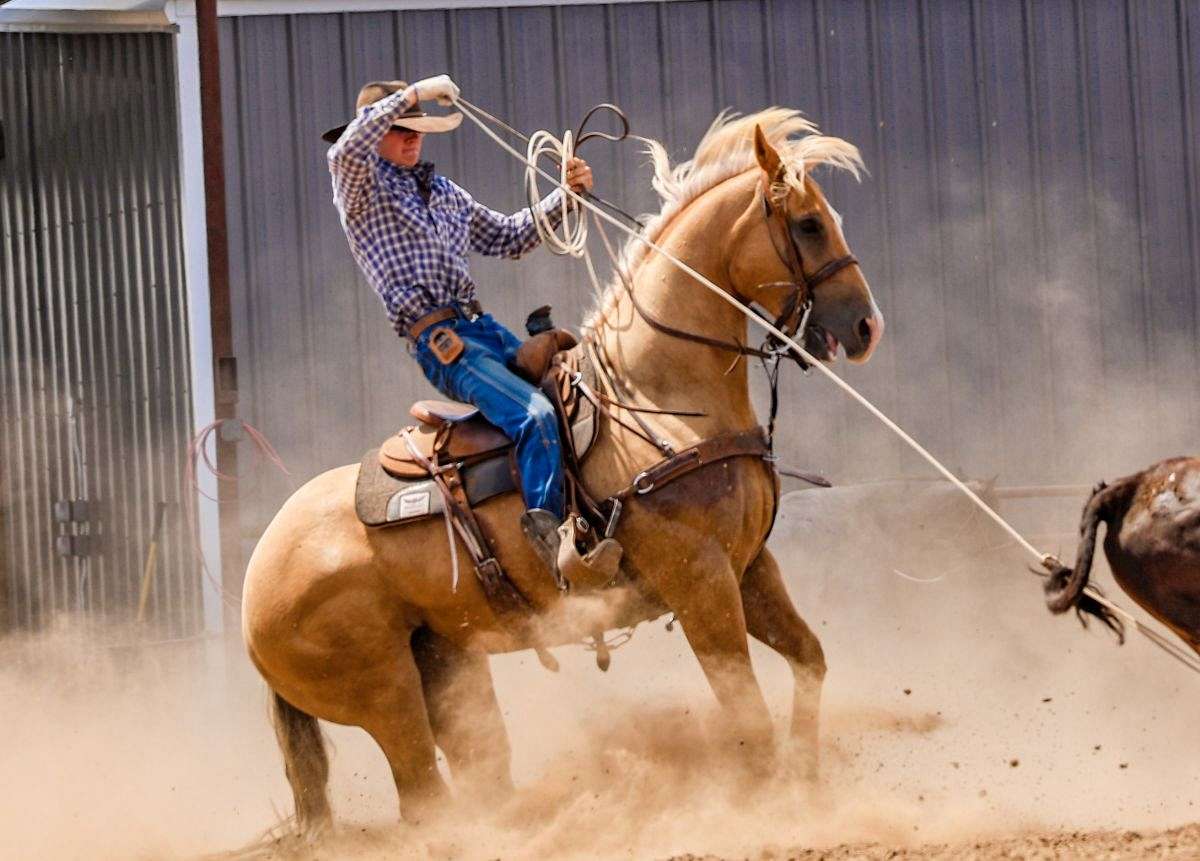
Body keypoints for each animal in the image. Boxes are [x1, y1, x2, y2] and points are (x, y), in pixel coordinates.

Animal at [241, 108, 884, 836]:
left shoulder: (749, 567)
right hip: (384, 692)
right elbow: (747, 713)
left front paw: (808, 785)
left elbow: (810, 662)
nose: (866, 327)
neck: (656, 395)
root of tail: (257, 574)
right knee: (424, 800)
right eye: (807, 224)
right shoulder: (701, 581)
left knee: (482, 777)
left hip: (448, 665)